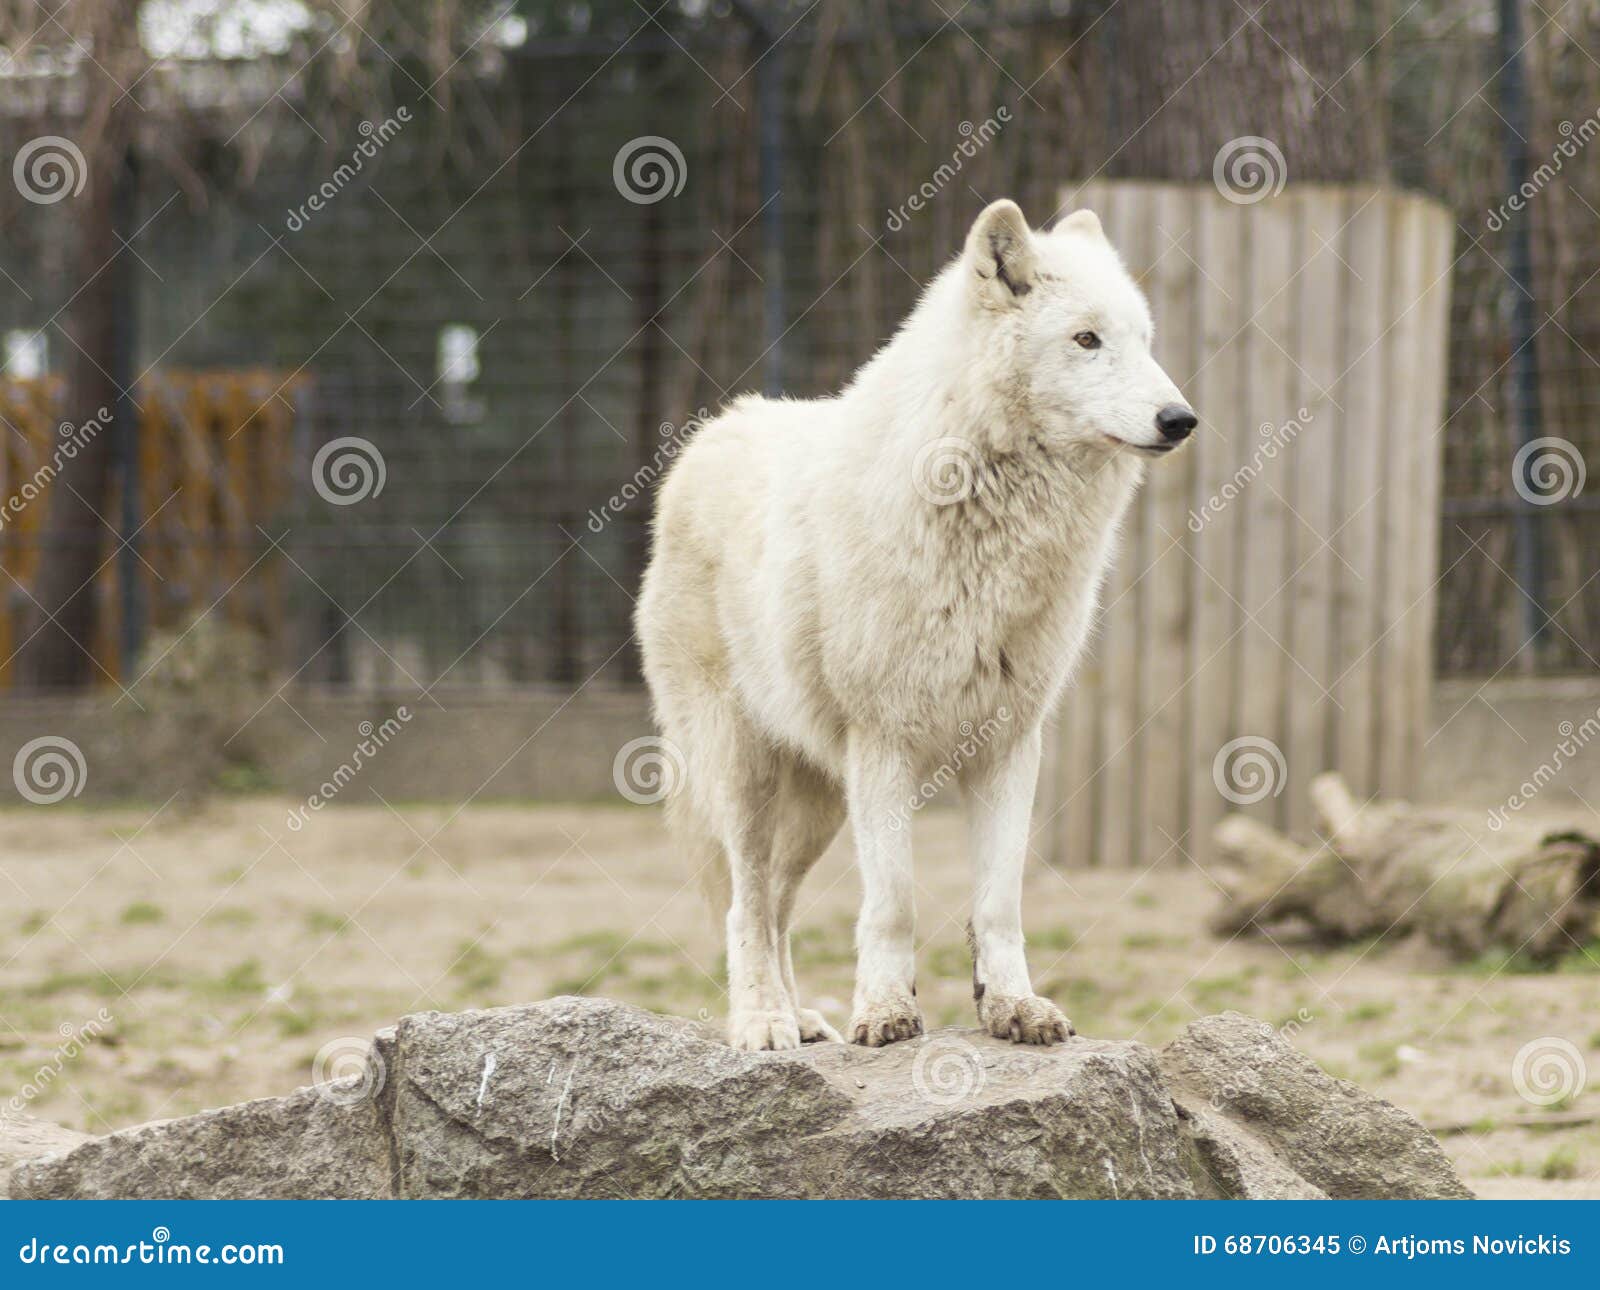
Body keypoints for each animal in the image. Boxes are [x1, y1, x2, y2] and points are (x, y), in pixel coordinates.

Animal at [637, 199, 1195, 1051]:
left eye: (1145, 340)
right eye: (1086, 340)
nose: (1181, 419)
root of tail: (712, 432)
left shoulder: (1010, 743)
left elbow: (998, 902)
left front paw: (1012, 1006)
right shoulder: (885, 745)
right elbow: (893, 902)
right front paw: (885, 1012)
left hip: (819, 804)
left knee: (779, 907)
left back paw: (802, 1020)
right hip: (746, 773)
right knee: (745, 903)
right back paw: (763, 1022)